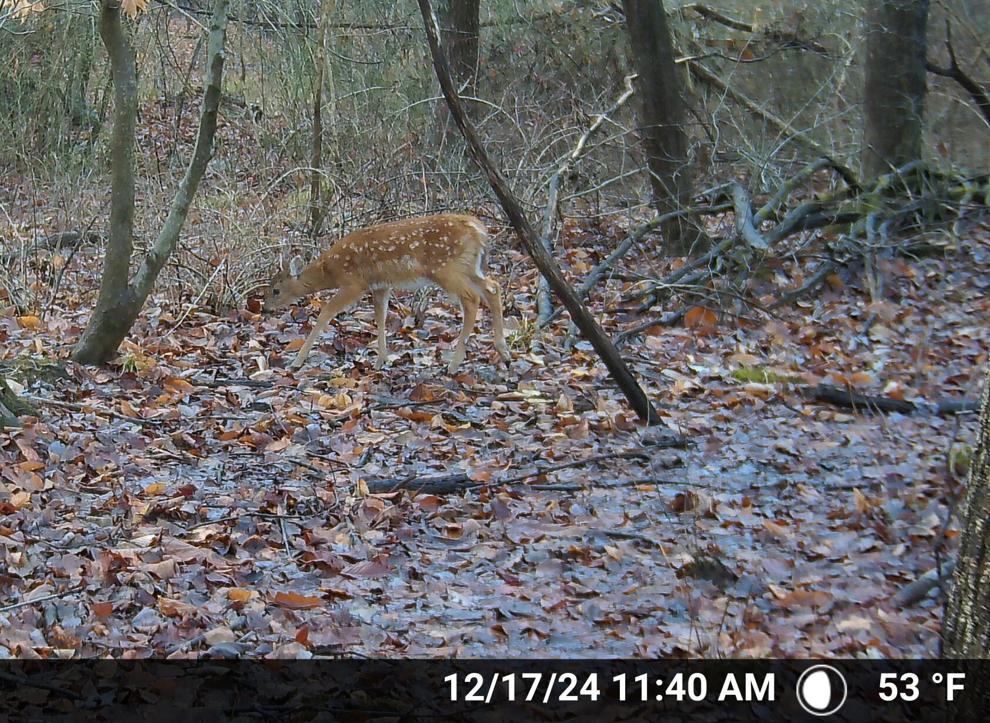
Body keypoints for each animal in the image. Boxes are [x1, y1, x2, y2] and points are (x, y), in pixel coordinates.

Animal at [262, 213, 512, 373]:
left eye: (275, 290)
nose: (265, 309)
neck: (330, 270)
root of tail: (478, 230)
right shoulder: (380, 285)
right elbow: (380, 316)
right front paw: (381, 360)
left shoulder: (354, 283)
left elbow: (326, 313)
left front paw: (297, 361)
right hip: (468, 266)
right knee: (493, 287)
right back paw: (504, 352)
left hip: (446, 267)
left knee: (472, 299)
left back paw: (453, 365)